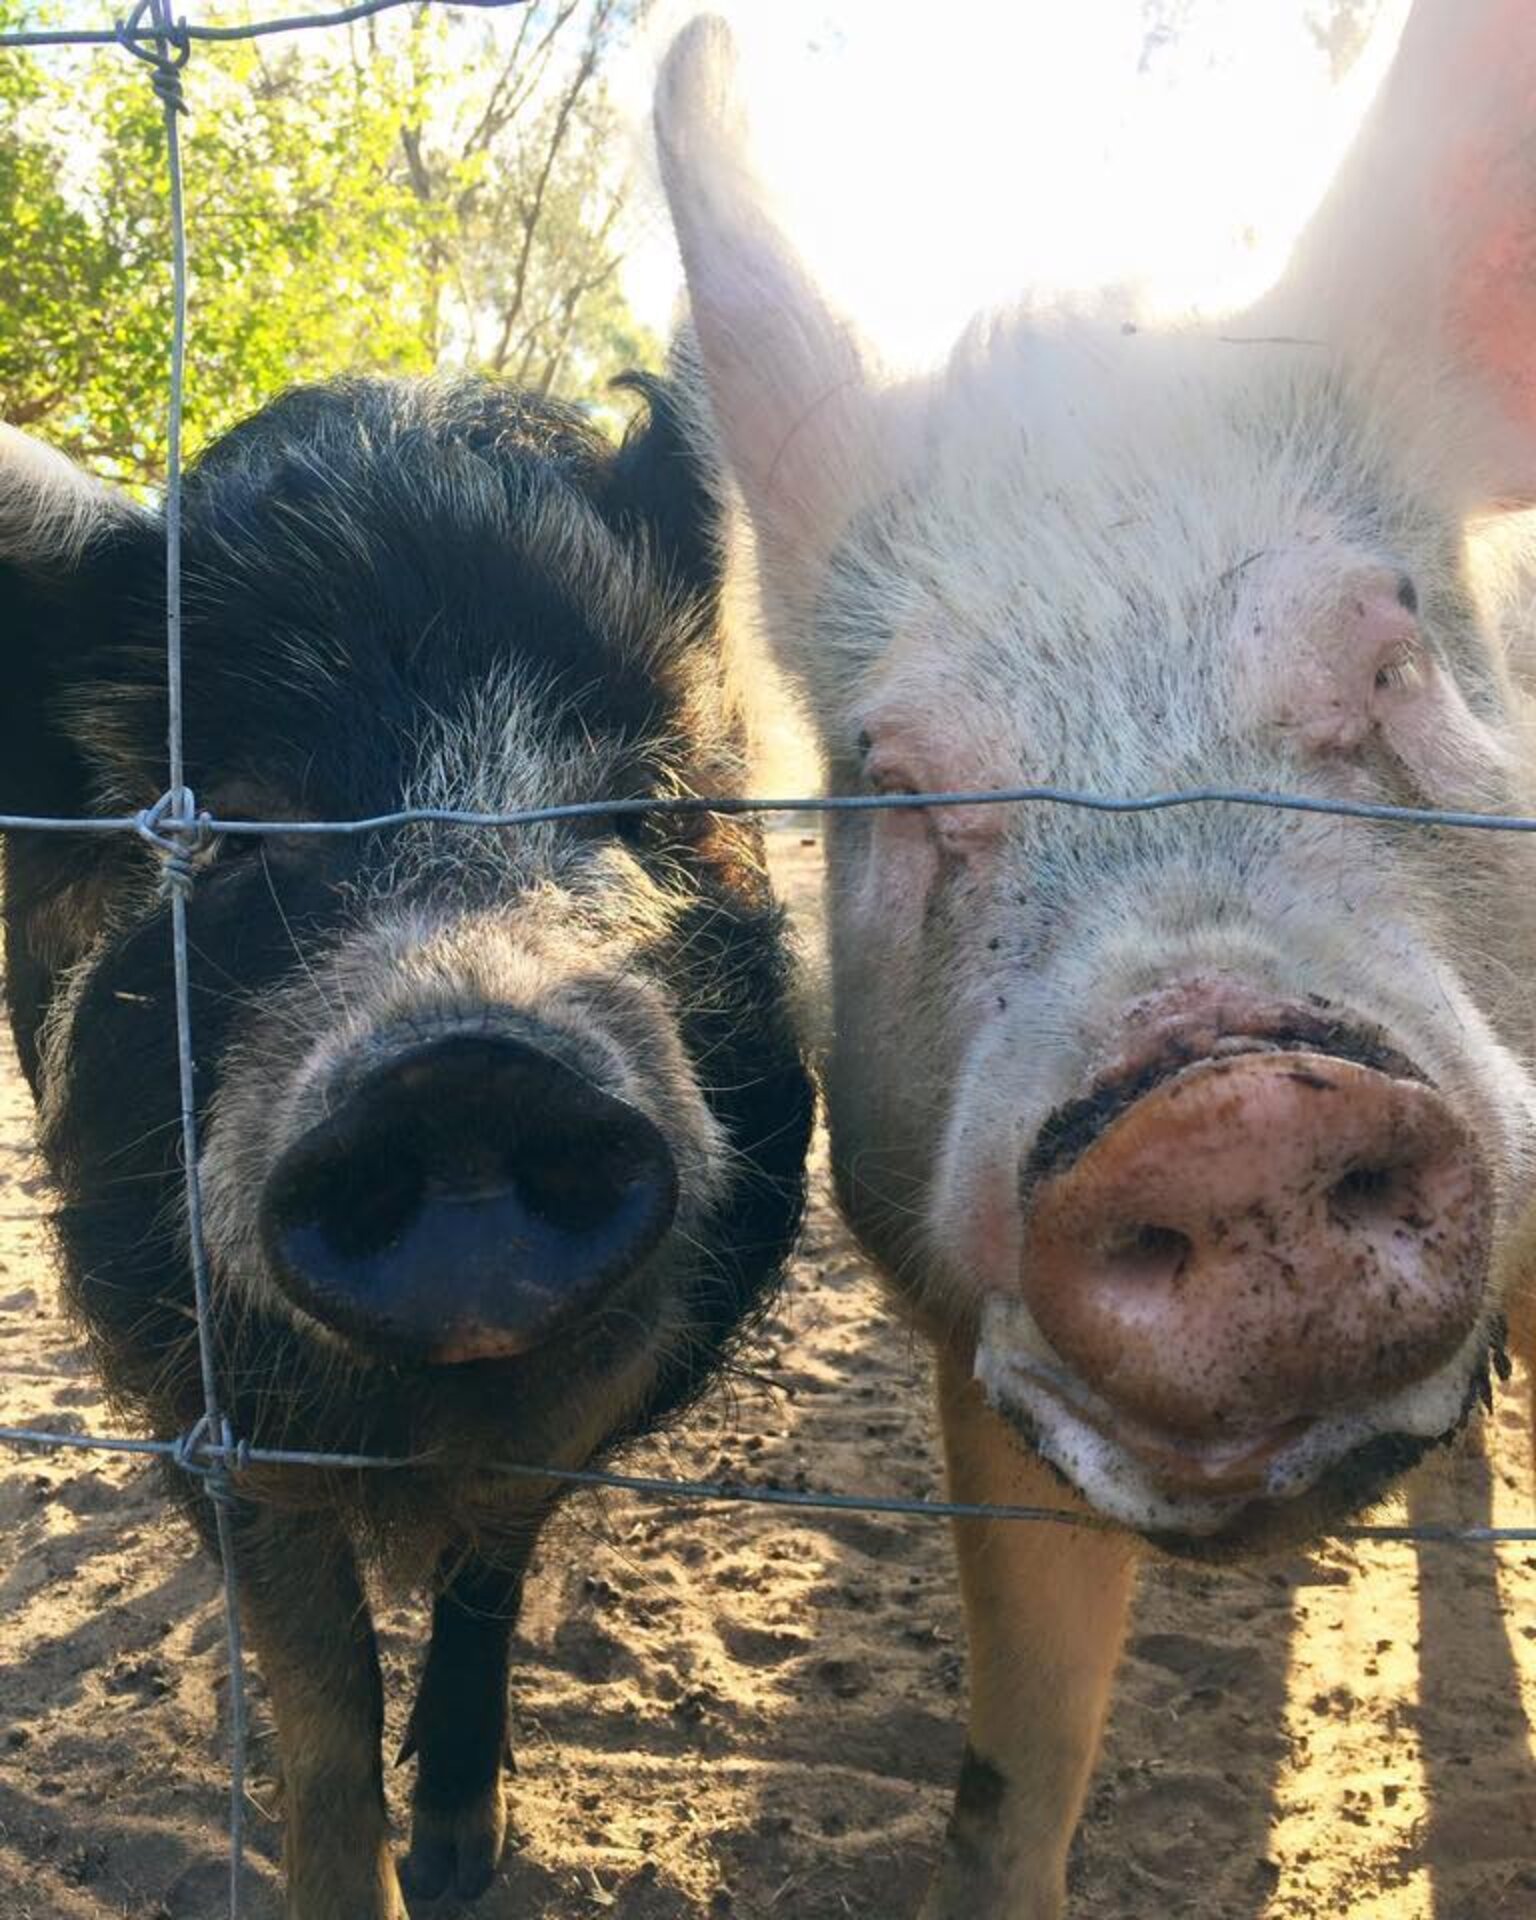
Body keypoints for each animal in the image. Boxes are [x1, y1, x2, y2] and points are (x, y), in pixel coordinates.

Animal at [0, 373, 814, 1918]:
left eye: (639, 810)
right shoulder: (193, 1374)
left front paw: (456, 1864)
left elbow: (488, 1568)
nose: (469, 1065)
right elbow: (320, 1672)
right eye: (233, 827)